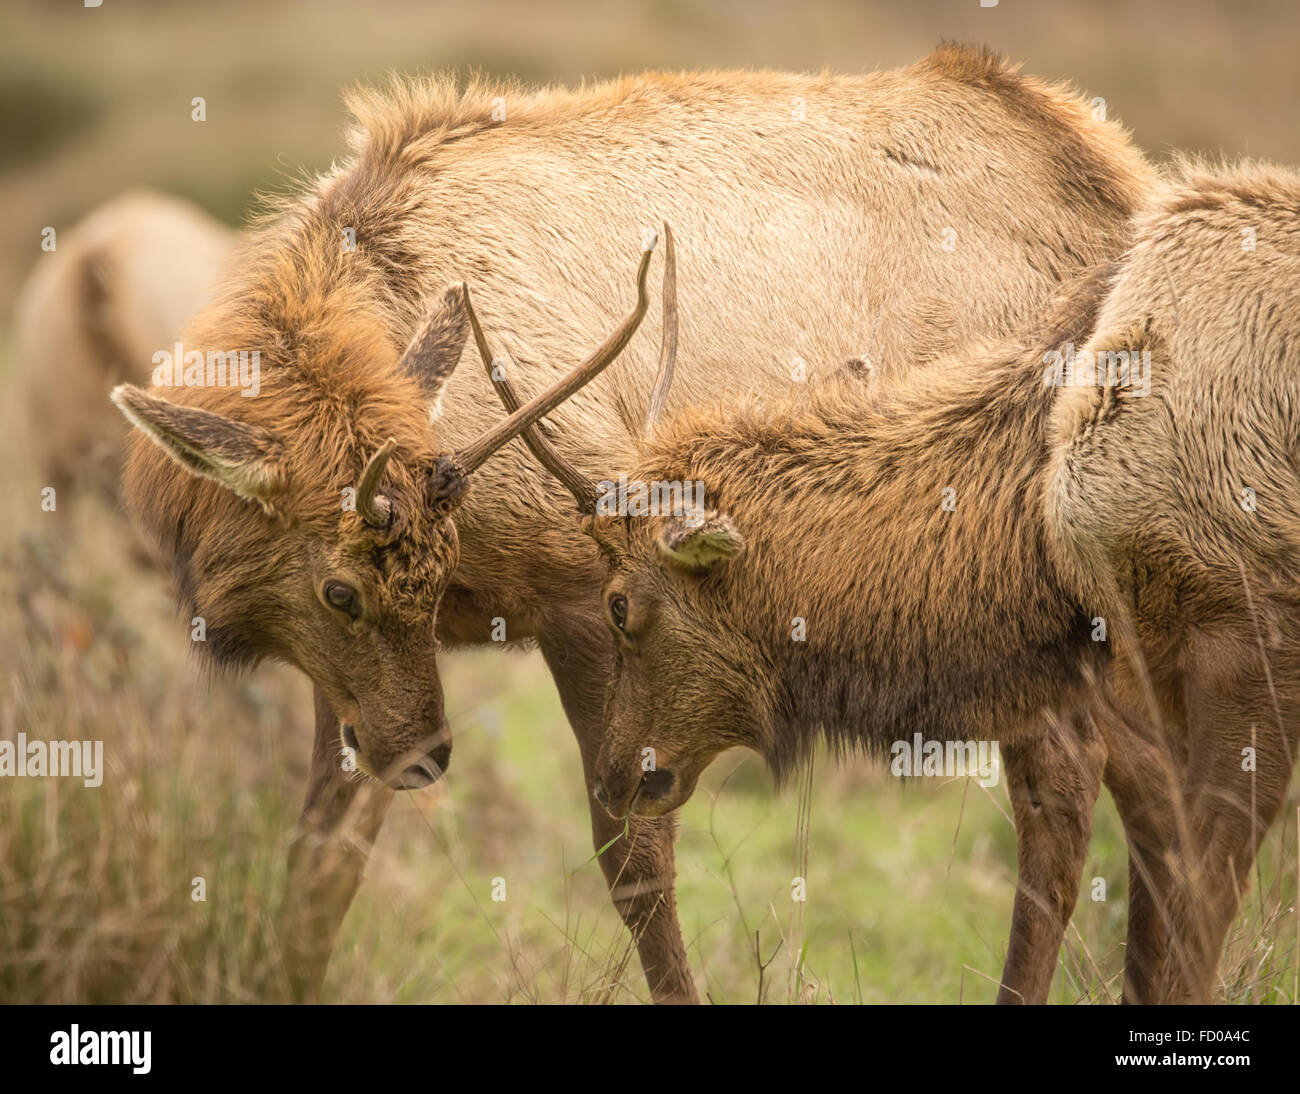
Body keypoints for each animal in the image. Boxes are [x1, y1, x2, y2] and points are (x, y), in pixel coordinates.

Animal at [112, 44, 1155, 1003]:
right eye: (340, 592)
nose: (427, 759)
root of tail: (1123, 179)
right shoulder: (361, 674)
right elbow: (321, 857)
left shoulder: (593, 589)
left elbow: (633, 859)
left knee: (1066, 782)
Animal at [523, 161, 1300, 1003]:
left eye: (620, 605)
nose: (610, 779)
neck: (1038, 534)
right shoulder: (1148, 668)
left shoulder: (1246, 644)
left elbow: (1197, 913)